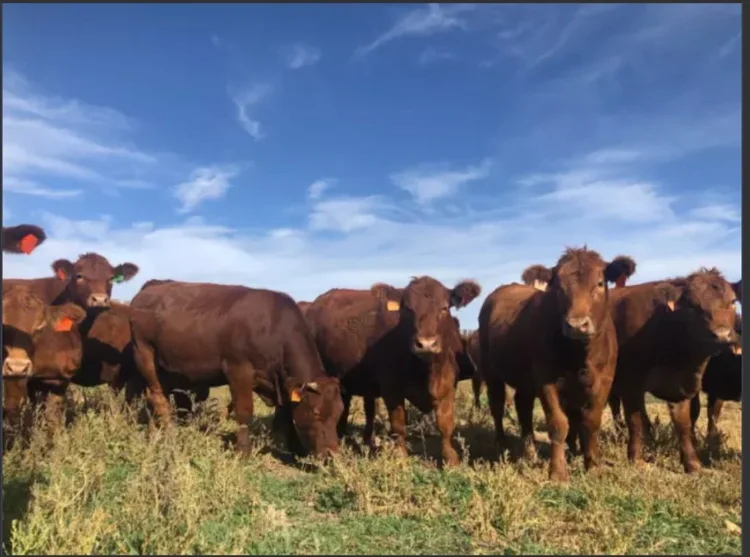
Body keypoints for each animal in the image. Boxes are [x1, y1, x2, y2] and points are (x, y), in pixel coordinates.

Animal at [128, 280, 344, 458]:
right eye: (316, 412)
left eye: (339, 412)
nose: (331, 455)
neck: (272, 327)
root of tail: (149, 289)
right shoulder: (238, 370)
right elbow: (244, 411)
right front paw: (243, 451)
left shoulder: (281, 383)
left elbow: (285, 414)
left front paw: (291, 448)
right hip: (145, 355)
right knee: (157, 396)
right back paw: (169, 435)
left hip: (165, 368)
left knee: (153, 395)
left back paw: (154, 433)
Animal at [304, 276, 481, 467]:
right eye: (408, 310)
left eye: (444, 308)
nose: (426, 344)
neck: (425, 369)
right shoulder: (391, 389)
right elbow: (398, 424)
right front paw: (400, 456)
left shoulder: (447, 385)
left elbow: (445, 424)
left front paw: (451, 459)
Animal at [478, 247, 637, 481]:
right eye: (558, 287)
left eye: (600, 283)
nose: (577, 325)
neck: (579, 354)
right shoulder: (546, 380)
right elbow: (558, 424)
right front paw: (558, 472)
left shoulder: (604, 381)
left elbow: (590, 422)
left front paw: (592, 465)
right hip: (491, 372)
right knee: (497, 404)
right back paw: (502, 444)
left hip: (525, 380)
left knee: (523, 405)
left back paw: (530, 452)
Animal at [607, 270, 740, 473]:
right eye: (692, 306)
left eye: (732, 302)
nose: (722, 335)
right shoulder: (631, 384)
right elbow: (635, 422)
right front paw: (636, 459)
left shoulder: (681, 387)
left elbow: (683, 423)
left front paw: (692, 464)